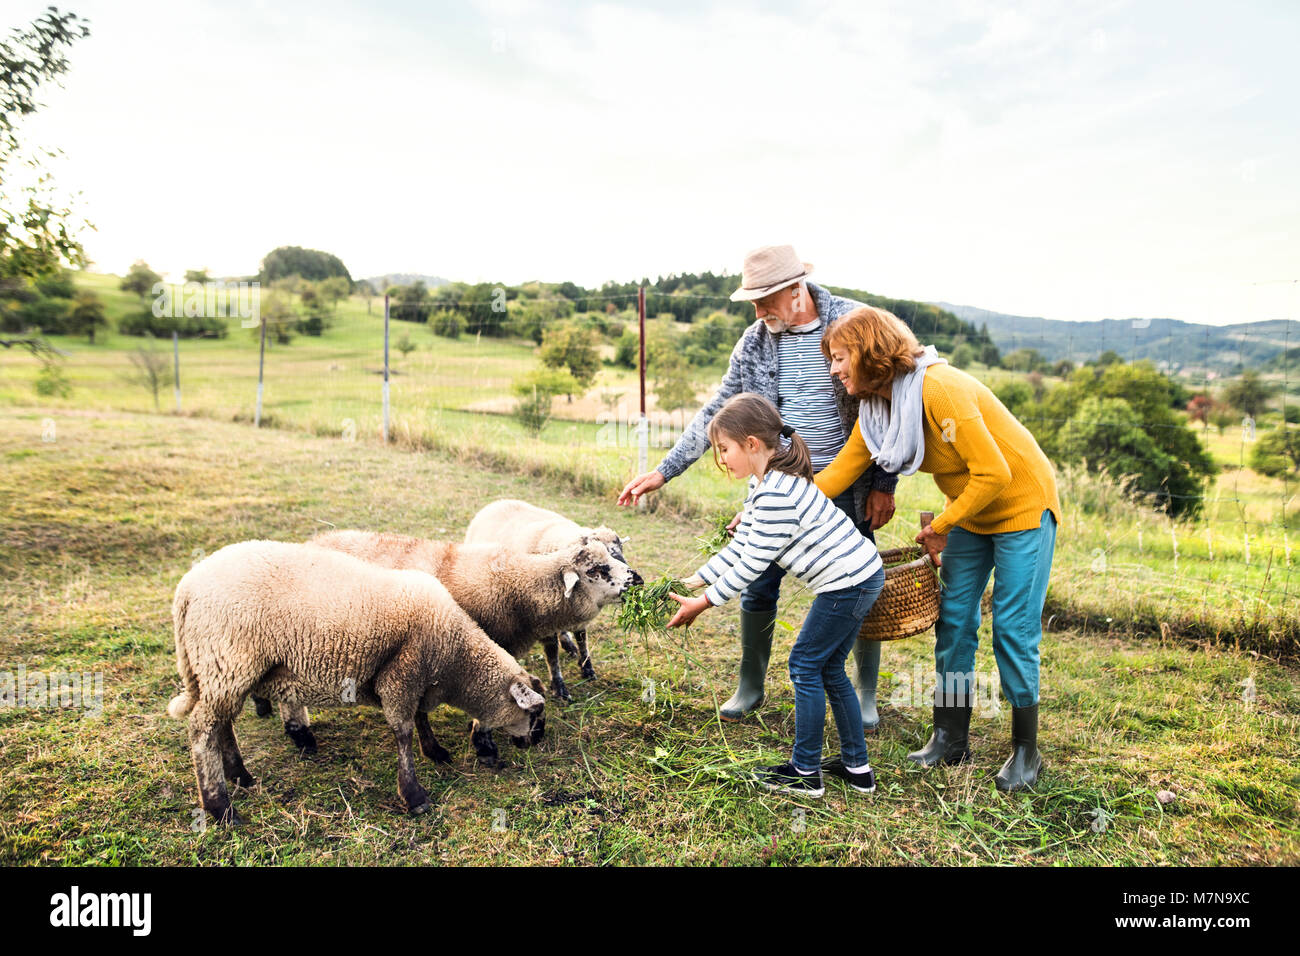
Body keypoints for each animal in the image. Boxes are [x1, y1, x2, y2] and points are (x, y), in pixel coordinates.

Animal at [167, 539, 546, 824]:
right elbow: (404, 732)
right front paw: (414, 794)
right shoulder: (401, 676)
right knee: (203, 729)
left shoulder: (417, 679)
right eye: (534, 713)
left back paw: (239, 775)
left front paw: (435, 751)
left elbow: (421, 718)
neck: (456, 657)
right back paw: (220, 807)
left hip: (222, 670)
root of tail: (186, 588)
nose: (536, 742)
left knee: (222, 723)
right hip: (229, 660)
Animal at [464, 498, 631, 697]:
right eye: (604, 553)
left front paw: (587, 668)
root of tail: (499, 501)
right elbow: (552, 652)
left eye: (620, 548)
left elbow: (582, 638)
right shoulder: (542, 611)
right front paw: (559, 686)